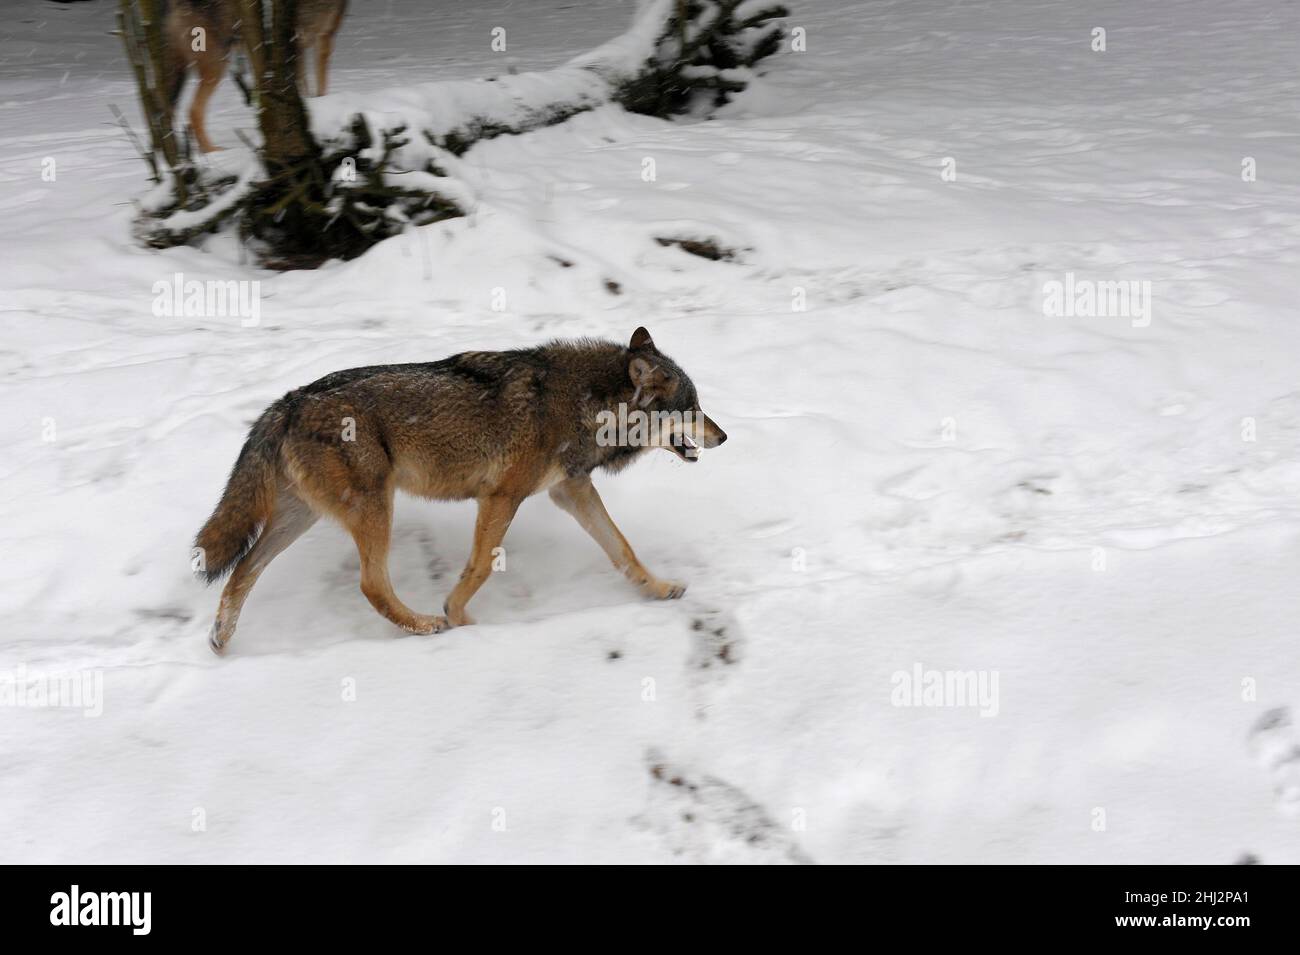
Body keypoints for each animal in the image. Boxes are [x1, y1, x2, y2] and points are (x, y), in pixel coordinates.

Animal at [161, 0, 348, 153]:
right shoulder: (299, 45)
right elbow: (309, 89)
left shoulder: (320, 40)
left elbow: (315, 91)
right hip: (217, 64)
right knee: (193, 110)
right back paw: (212, 150)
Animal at [194, 328, 727, 654]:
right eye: (694, 407)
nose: (724, 436)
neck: (587, 404)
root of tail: (289, 401)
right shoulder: (502, 497)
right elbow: (480, 568)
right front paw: (461, 620)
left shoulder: (570, 491)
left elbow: (623, 550)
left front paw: (660, 589)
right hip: (374, 507)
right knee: (371, 584)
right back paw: (429, 624)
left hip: (301, 518)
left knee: (242, 572)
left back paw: (221, 641)